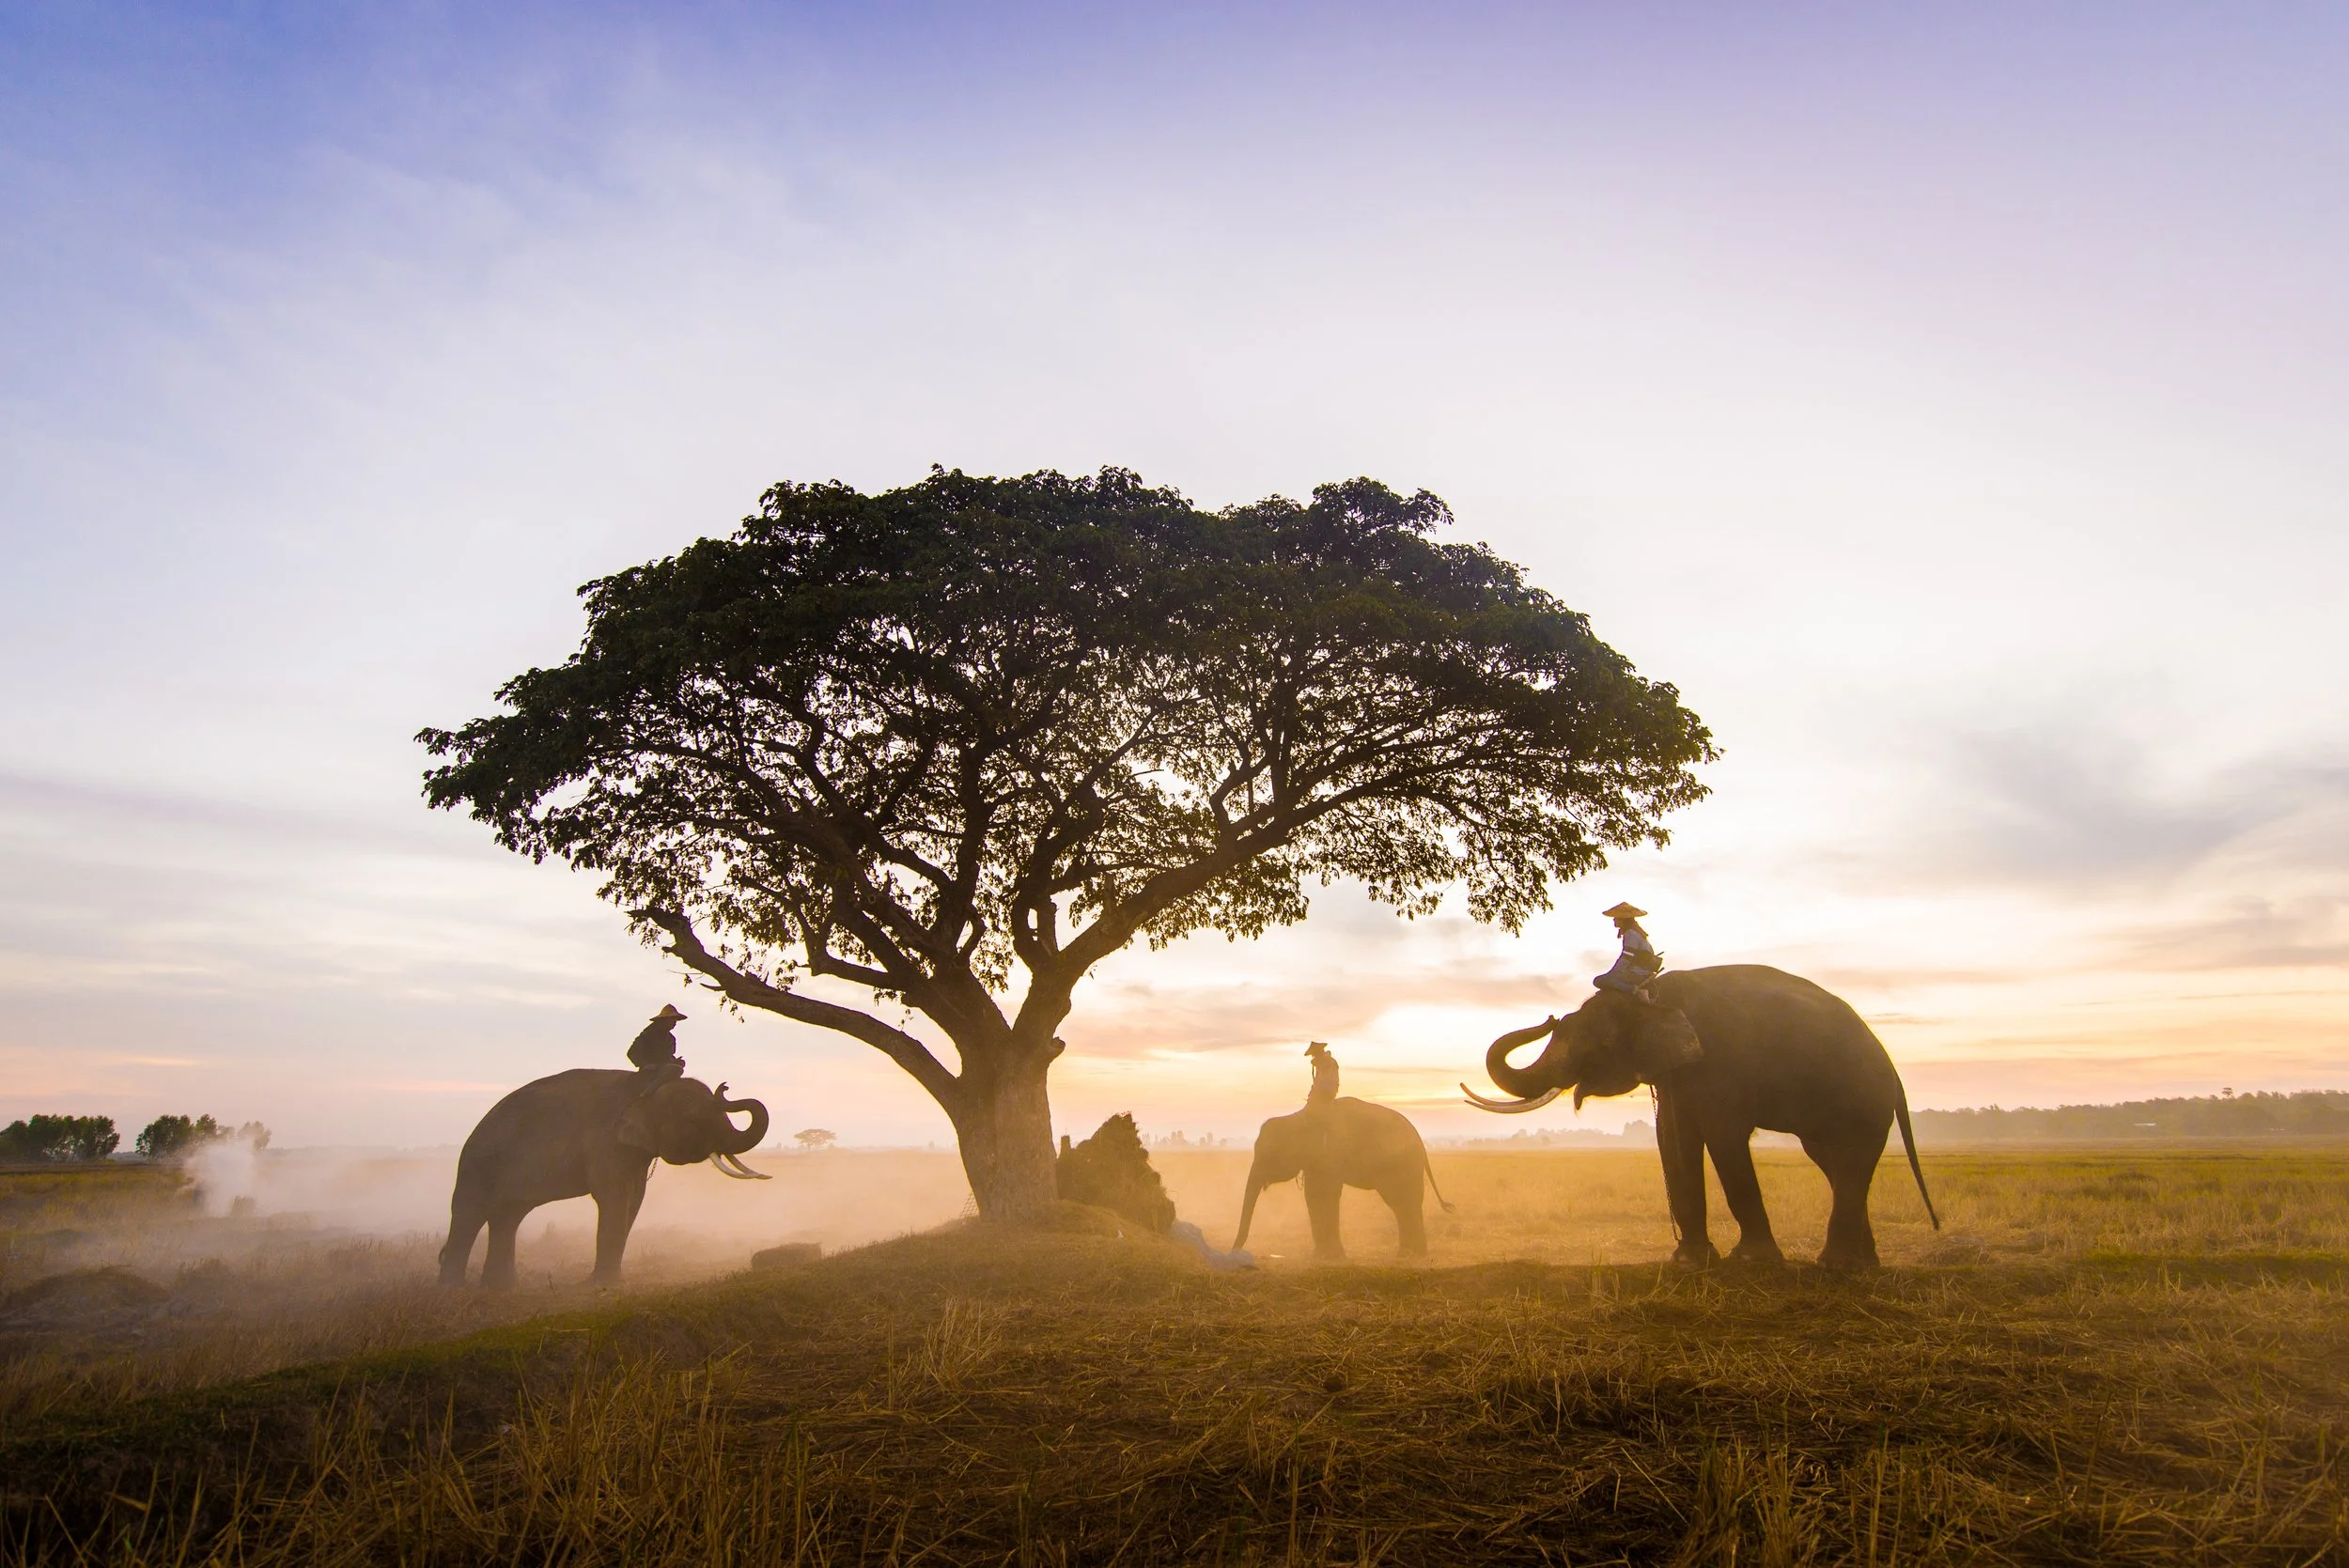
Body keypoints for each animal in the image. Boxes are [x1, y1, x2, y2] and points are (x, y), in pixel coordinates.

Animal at [439, 1070, 771, 1287]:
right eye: (693, 1119)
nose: (724, 1087)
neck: (644, 1090)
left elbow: (633, 1200)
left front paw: (610, 1282)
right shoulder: (605, 1142)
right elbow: (614, 1198)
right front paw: (601, 1286)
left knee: (507, 1218)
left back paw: (500, 1288)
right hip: (478, 1165)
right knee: (470, 1214)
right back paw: (454, 1289)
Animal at [1233, 1098, 1454, 1260]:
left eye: (1269, 1154)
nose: (1234, 1252)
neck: (1299, 1116)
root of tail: (1421, 1143)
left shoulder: (1330, 1153)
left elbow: (1325, 1194)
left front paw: (1330, 1257)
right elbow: (1313, 1196)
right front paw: (1323, 1257)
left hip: (1404, 1165)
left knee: (1402, 1202)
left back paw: (1412, 1256)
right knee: (1403, 1205)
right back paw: (1409, 1255)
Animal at [1464, 965, 1938, 1269]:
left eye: (1599, 1044)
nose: (1549, 1017)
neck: (1655, 994)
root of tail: (1894, 1072)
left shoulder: (1721, 1064)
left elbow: (1723, 1136)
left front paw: (1751, 1260)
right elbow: (1673, 1137)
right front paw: (1688, 1261)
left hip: (1865, 1102)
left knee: (1849, 1160)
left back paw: (1835, 1264)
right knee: (1832, 1162)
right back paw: (1862, 1263)